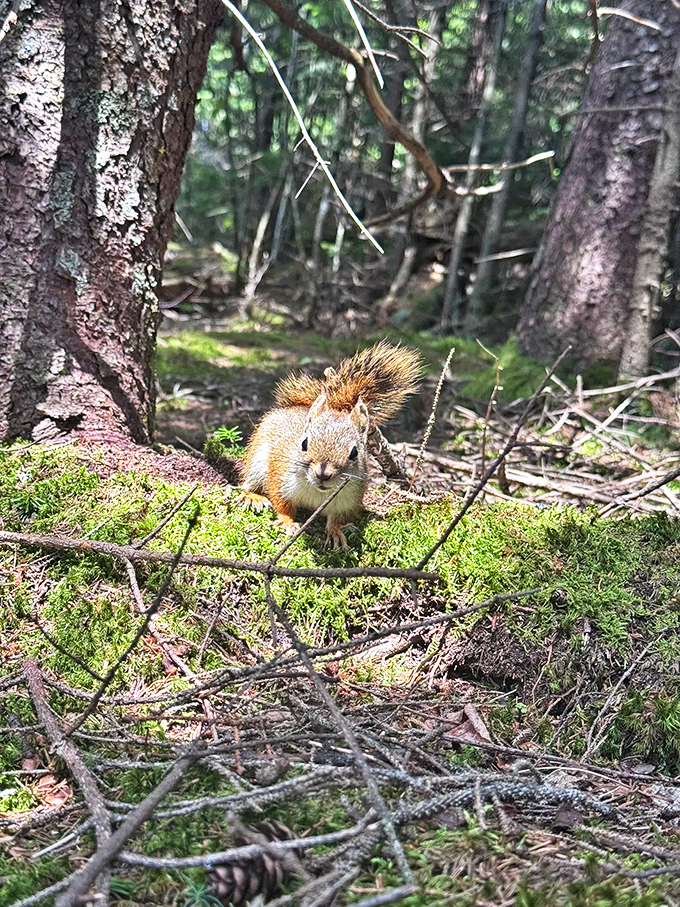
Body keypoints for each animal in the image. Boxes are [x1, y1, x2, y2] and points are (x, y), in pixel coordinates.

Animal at [240, 341, 422, 549]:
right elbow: (282, 504)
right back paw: (254, 498)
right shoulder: (280, 478)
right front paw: (287, 522)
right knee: (248, 482)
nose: (323, 474)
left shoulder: (348, 500)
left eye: (354, 453)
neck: (316, 491)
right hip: (256, 459)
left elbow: (338, 518)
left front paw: (336, 531)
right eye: (304, 443)